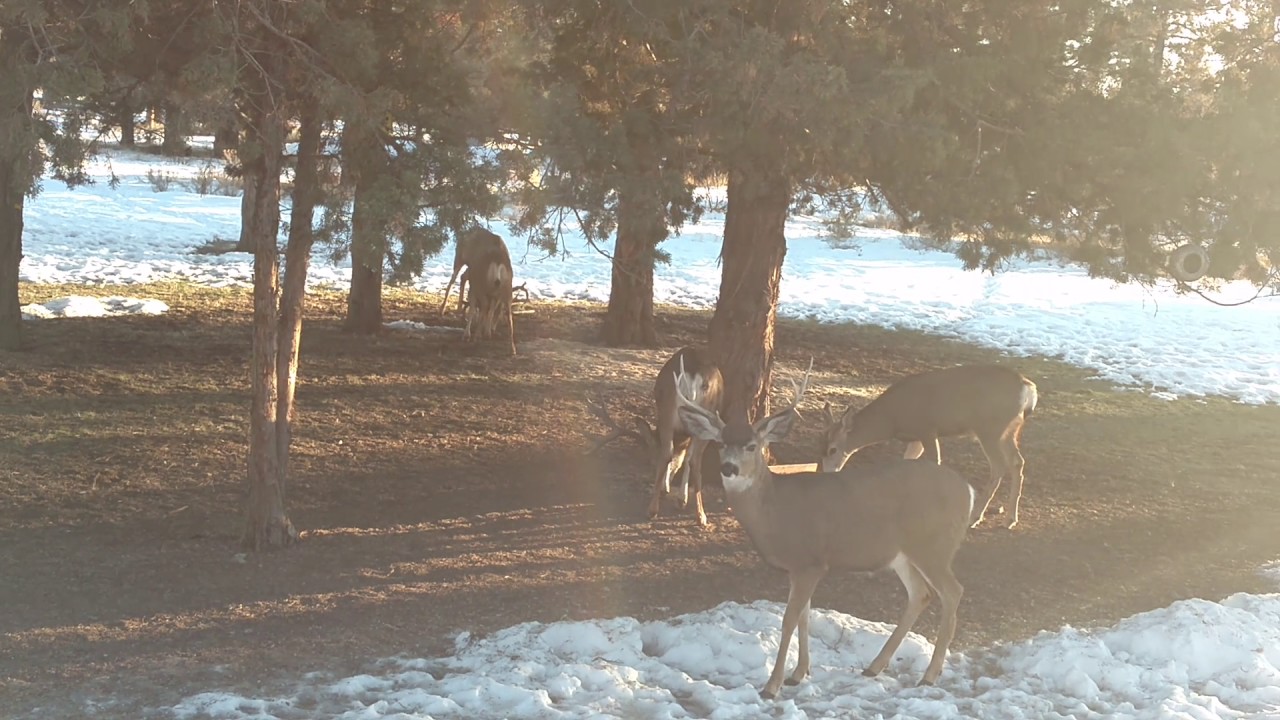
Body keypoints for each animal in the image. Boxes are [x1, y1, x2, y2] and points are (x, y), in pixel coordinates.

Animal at [644, 347, 724, 526]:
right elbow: (685, 459)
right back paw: (701, 515)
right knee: (693, 460)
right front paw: (681, 498)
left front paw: (669, 490)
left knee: (669, 454)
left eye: (651, 450)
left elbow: (679, 458)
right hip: (704, 419)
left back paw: (653, 509)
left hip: (667, 413)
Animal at [672, 358, 974, 696]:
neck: (774, 511)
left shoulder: (810, 562)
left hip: (934, 545)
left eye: (751, 445)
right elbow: (804, 616)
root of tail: (968, 491)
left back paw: (930, 675)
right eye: (721, 443)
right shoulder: (799, 567)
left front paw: (772, 685)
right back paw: (874, 666)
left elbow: (789, 619)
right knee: (921, 594)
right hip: (902, 553)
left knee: (953, 591)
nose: (728, 468)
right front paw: (798, 673)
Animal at [818, 364, 1037, 529]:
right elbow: (907, 463)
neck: (892, 419)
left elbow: (935, 462)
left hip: (990, 428)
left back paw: (975, 517)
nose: (824, 473)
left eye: (832, 449)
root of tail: (1028, 389)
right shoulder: (916, 438)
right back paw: (1010, 519)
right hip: (1009, 429)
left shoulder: (927, 430)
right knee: (1017, 462)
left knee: (999, 466)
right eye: (820, 445)